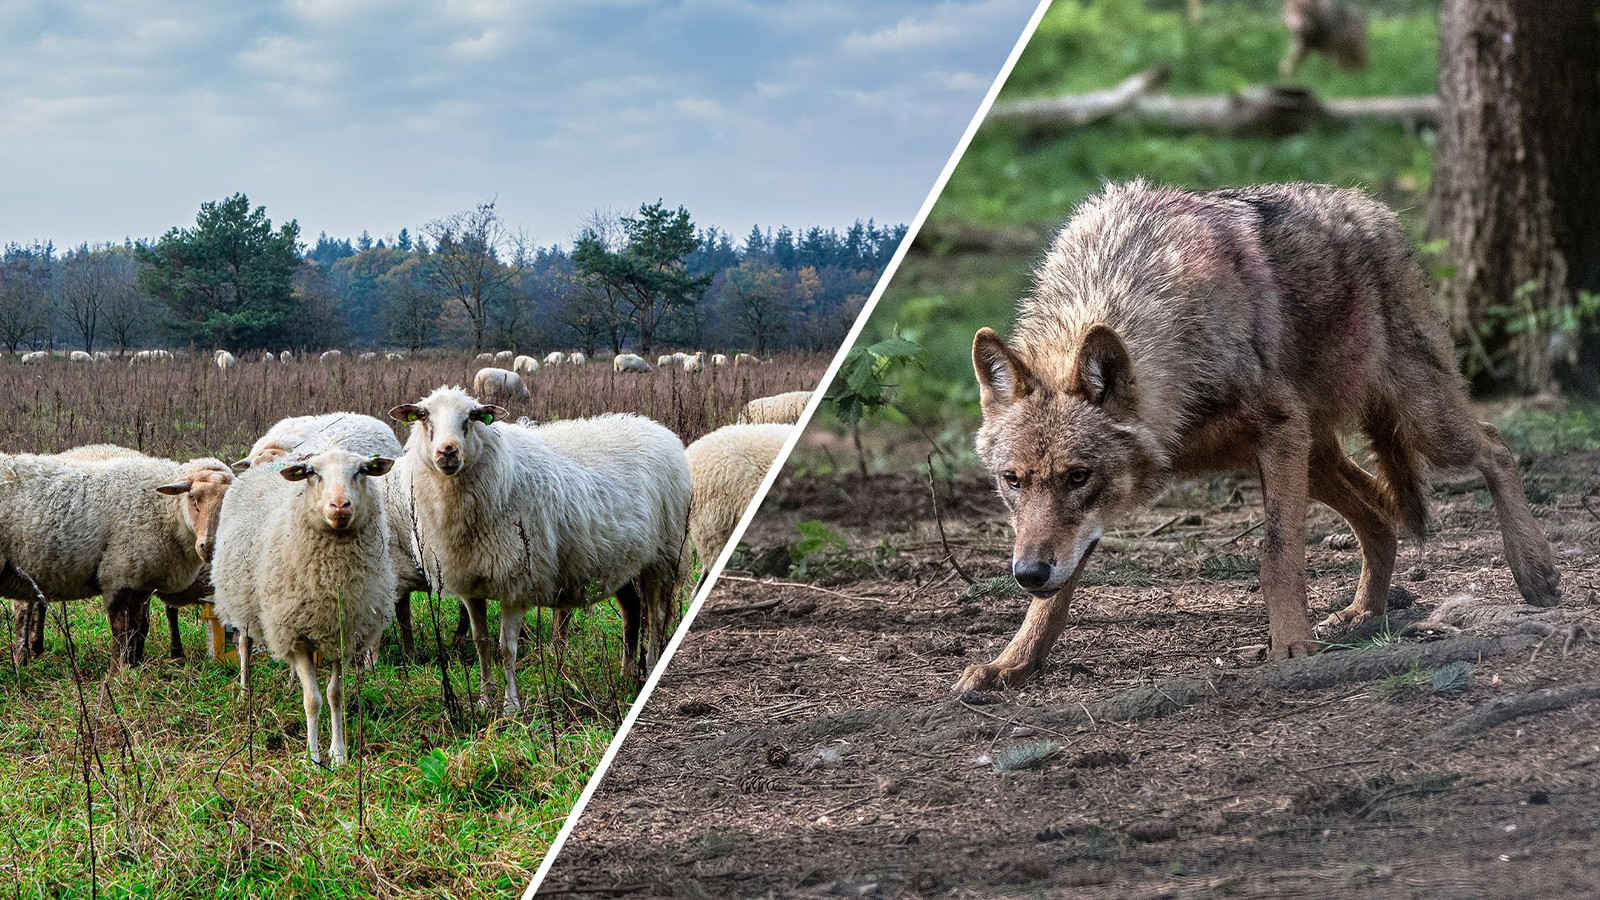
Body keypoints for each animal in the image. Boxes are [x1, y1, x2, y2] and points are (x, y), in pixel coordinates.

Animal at [955, 180, 1561, 693]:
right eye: (1013, 481)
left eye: (1078, 476)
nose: (1027, 573)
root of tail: (1373, 208)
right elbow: (1053, 602)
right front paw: (1011, 663)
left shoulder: (1280, 431)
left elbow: (1278, 556)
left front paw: (1291, 646)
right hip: (1317, 460)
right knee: (1380, 515)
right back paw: (1363, 613)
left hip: (1419, 427)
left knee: (1495, 446)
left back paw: (1534, 571)